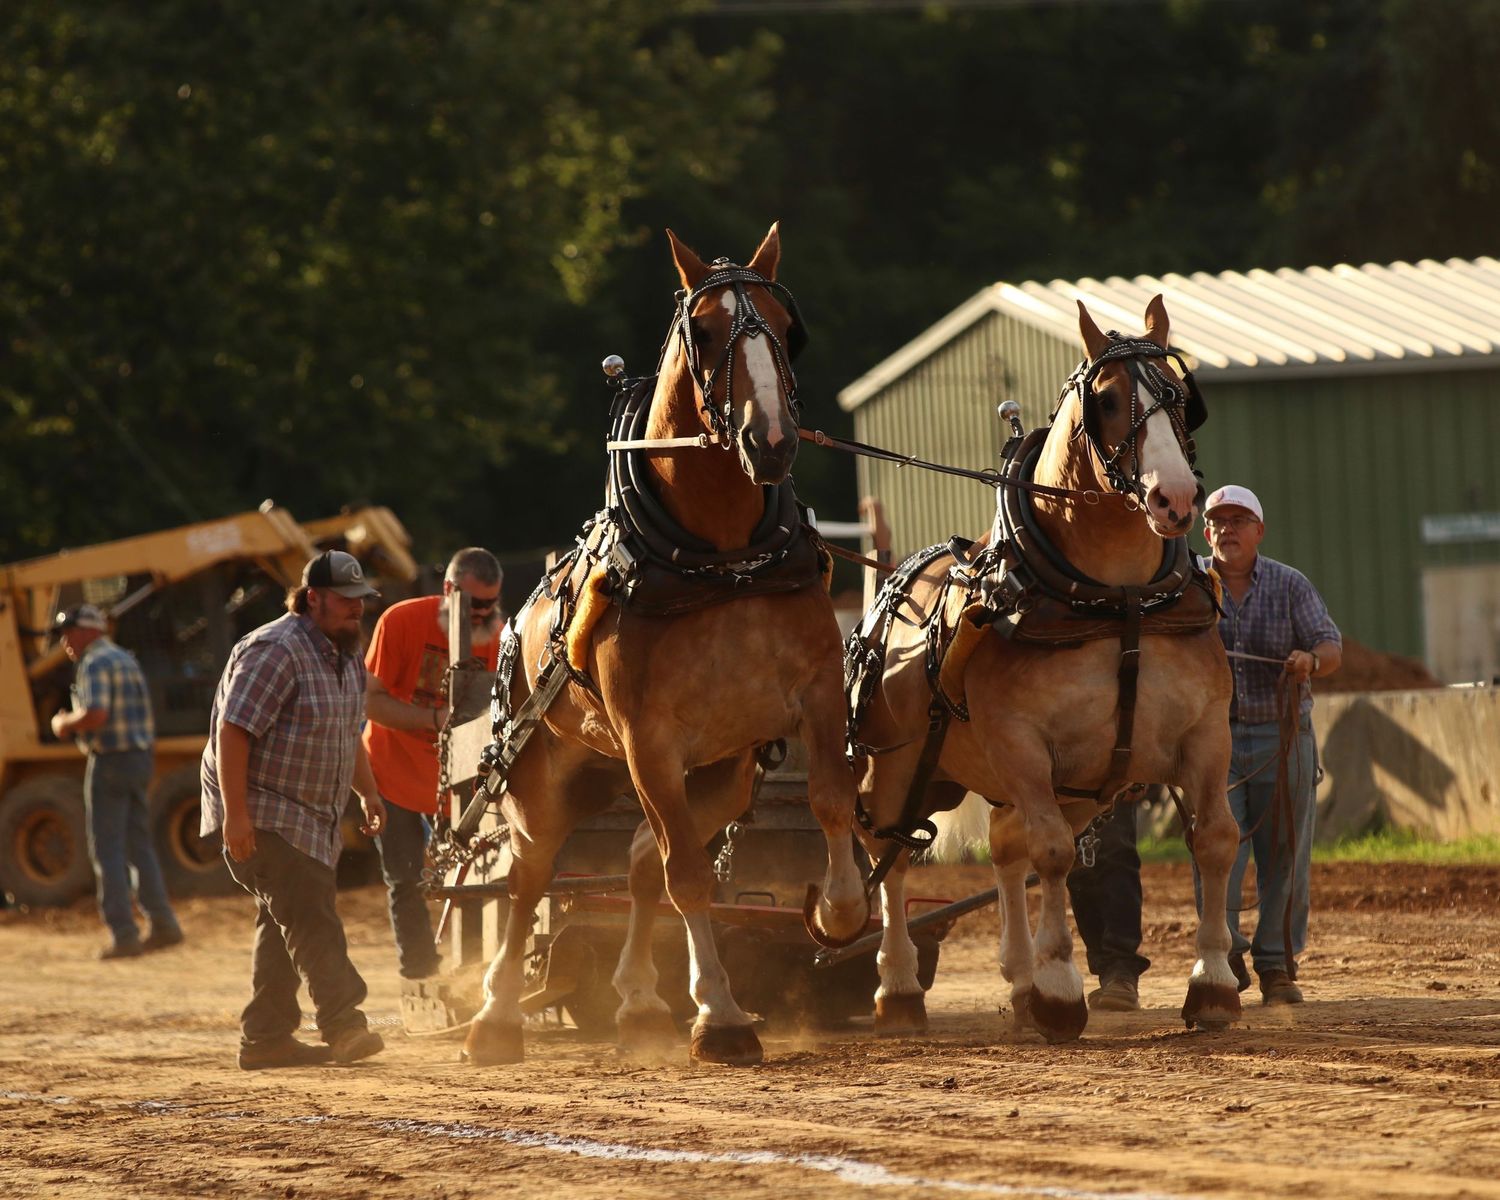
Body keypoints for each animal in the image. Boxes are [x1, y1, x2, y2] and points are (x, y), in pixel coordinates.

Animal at [461, 224, 868, 1067]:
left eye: (789, 330)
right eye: (705, 332)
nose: (769, 441)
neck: (722, 561)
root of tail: (515, 626)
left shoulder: (813, 696)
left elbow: (831, 800)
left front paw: (836, 914)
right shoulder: (648, 739)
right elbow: (689, 875)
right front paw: (721, 1015)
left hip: (717, 775)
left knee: (639, 864)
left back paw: (640, 1001)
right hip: (553, 776)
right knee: (530, 873)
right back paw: (496, 1014)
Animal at [845, 296, 1242, 1043]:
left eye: (1180, 400)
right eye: (1108, 400)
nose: (1175, 500)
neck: (1119, 601)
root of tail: (894, 586)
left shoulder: (1206, 734)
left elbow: (1216, 841)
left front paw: (1212, 983)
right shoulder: (1021, 743)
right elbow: (1054, 854)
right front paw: (1061, 988)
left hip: (1069, 784)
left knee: (1006, 848)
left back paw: (1019, 979)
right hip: (898, 769)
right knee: (893, 856)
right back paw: (899, 986)